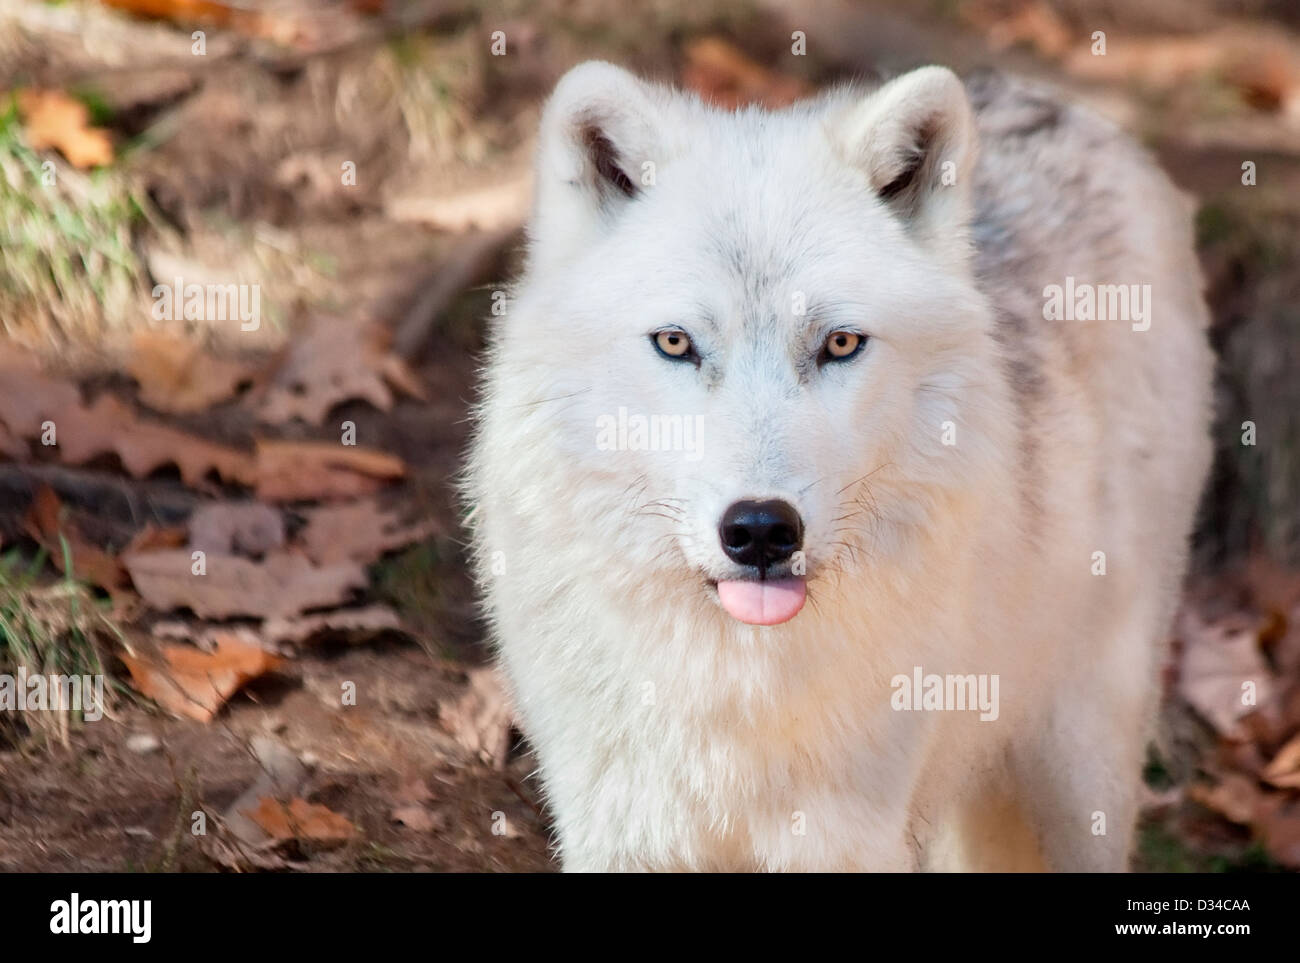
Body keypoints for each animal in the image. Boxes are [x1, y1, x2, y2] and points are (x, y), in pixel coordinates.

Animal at [465, 61, 1214, 871]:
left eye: (841, 344)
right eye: (675, 342)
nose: (761, 530)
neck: (739, 690)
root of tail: (1061, 100)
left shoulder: (847, 839)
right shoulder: (622, 833)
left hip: (1083, 763)